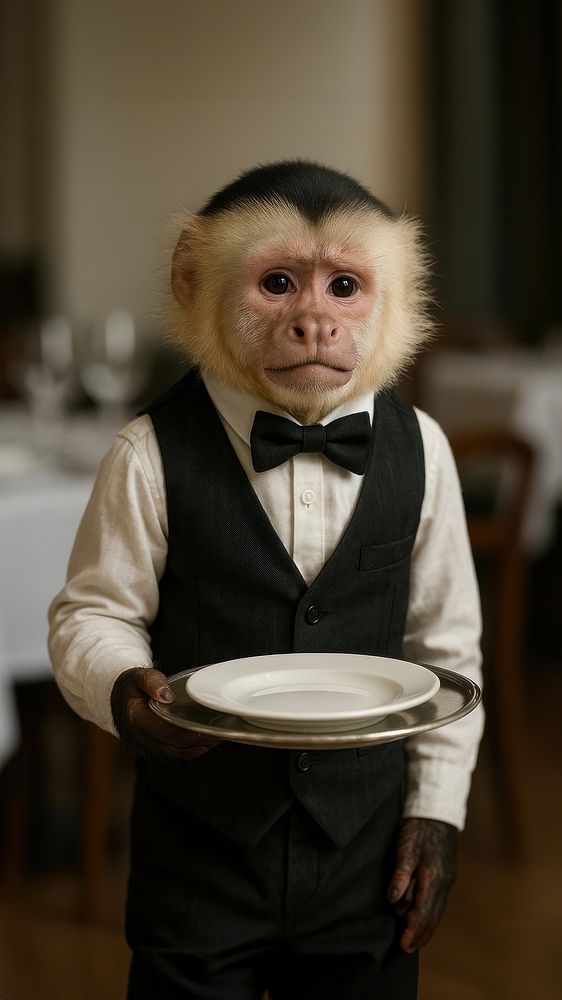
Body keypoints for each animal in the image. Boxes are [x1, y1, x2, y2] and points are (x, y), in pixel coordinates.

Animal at [48, 160, 484, 1000]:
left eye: (343, 287)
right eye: (278, 284)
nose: (314, 324)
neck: (303, 433)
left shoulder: (438, 457)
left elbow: (444, 637)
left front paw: (429, 852)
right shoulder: (129, 459)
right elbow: (94, 616)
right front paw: (144, 705)